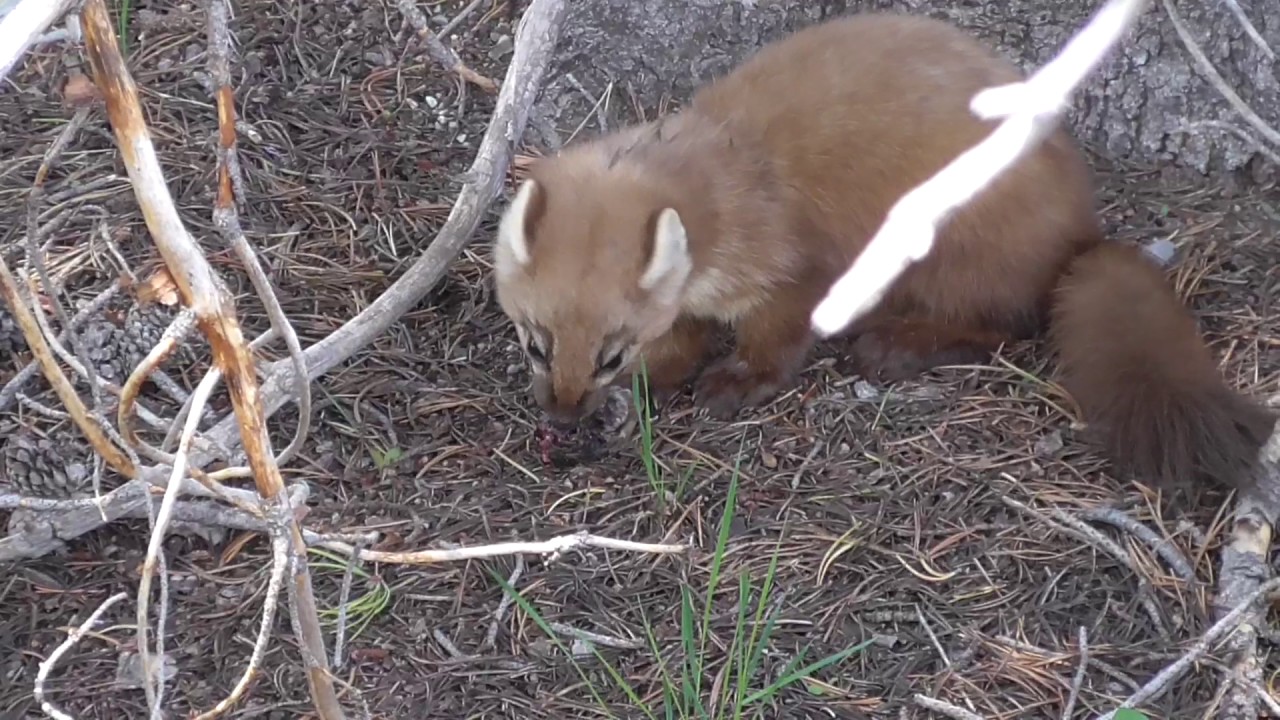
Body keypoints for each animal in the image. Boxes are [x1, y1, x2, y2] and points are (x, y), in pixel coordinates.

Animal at [492, 12, 1276, 495]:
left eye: (608, 354)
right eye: (534, 343)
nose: (561, 416)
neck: (726, 161)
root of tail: (1082, 233)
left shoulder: (794, 266)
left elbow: (777, 337)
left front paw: (732, 384)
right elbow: (681, 335)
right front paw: (652, 385)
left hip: (956, 243)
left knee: (1003, 321)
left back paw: (893, 345)